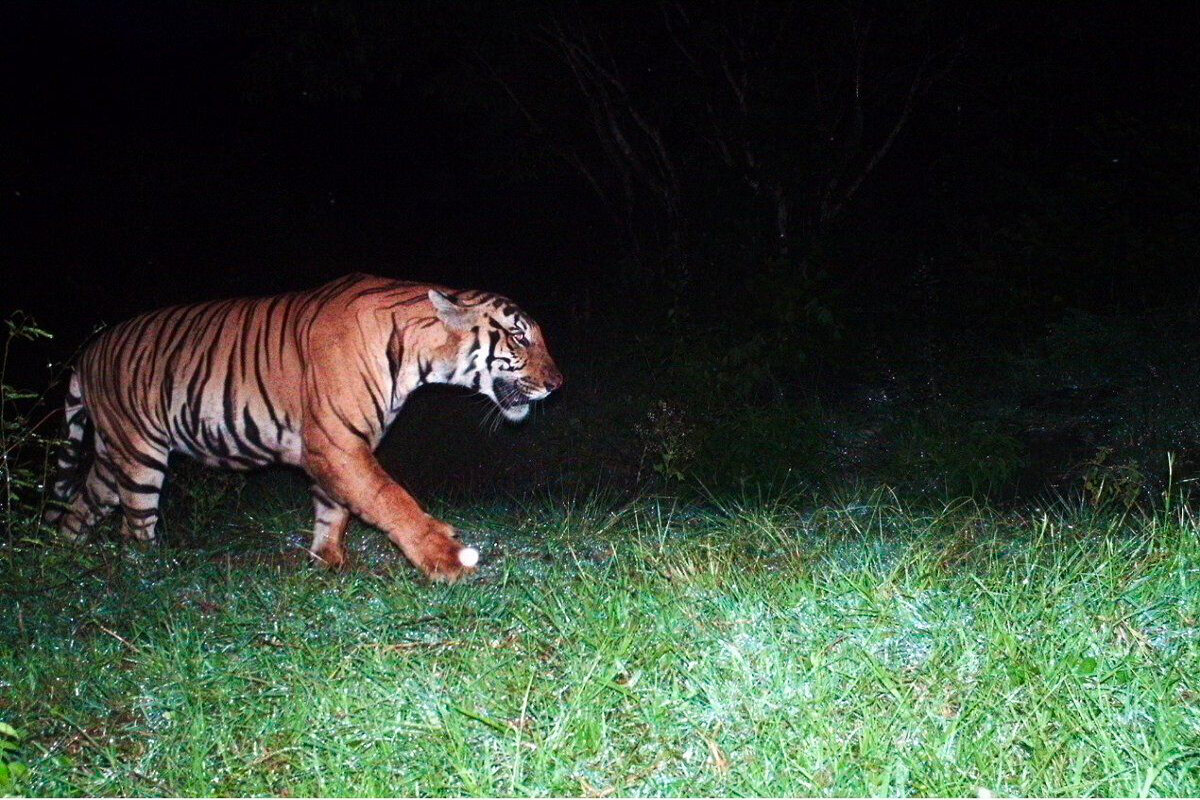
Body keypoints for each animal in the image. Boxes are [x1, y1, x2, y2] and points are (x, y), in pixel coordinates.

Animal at [45, 273, 563, 581]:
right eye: (520, 337)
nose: (558, 383)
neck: (420, 356)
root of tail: (87, 352)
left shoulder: (336, 447)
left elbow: (334, 509)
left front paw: (327, 561)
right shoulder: (337, 444)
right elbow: (388, 498)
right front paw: (446, 557)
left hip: (113, 455)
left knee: (81, 507)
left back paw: (65, 558)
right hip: (140, 456)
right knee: (134, 530)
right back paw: (152, 573)